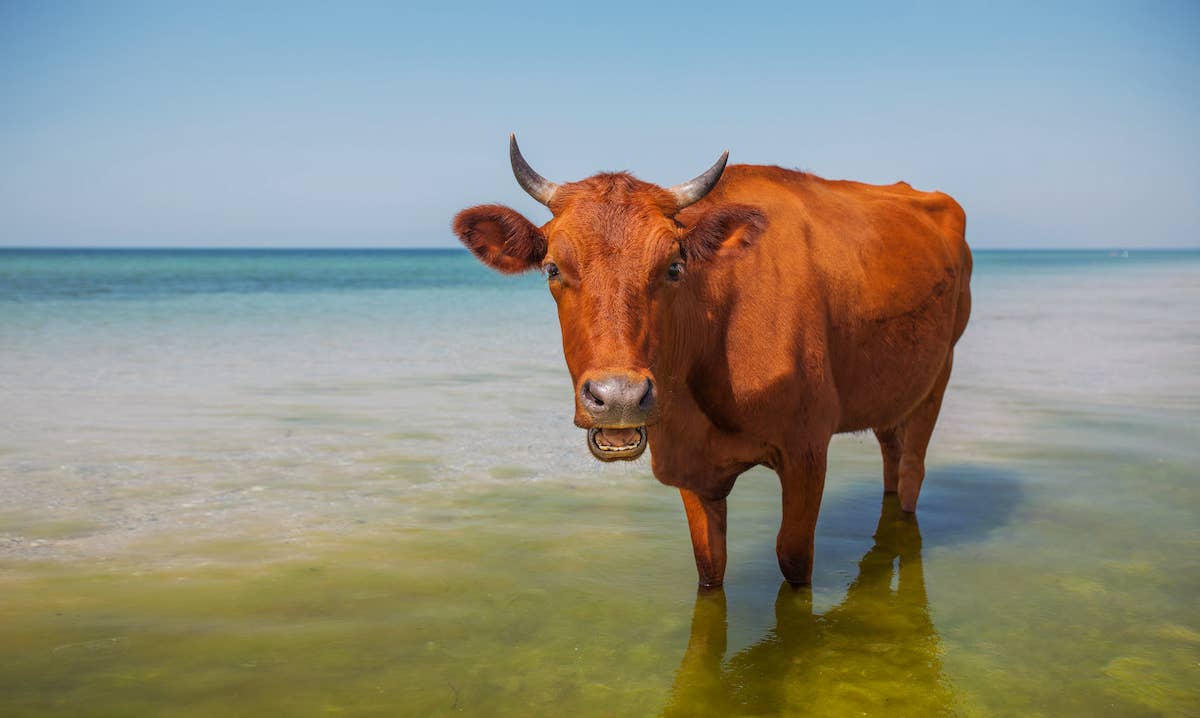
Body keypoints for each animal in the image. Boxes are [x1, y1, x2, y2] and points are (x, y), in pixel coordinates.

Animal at [452, 135, 971, 587]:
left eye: (674, 267)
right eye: (552, 268)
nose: (618, 398)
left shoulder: (807, 452)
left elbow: (792, 559)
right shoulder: (691, 468)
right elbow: (709, 567)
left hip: (940, 373)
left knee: (912, 472)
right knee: (891, 455)